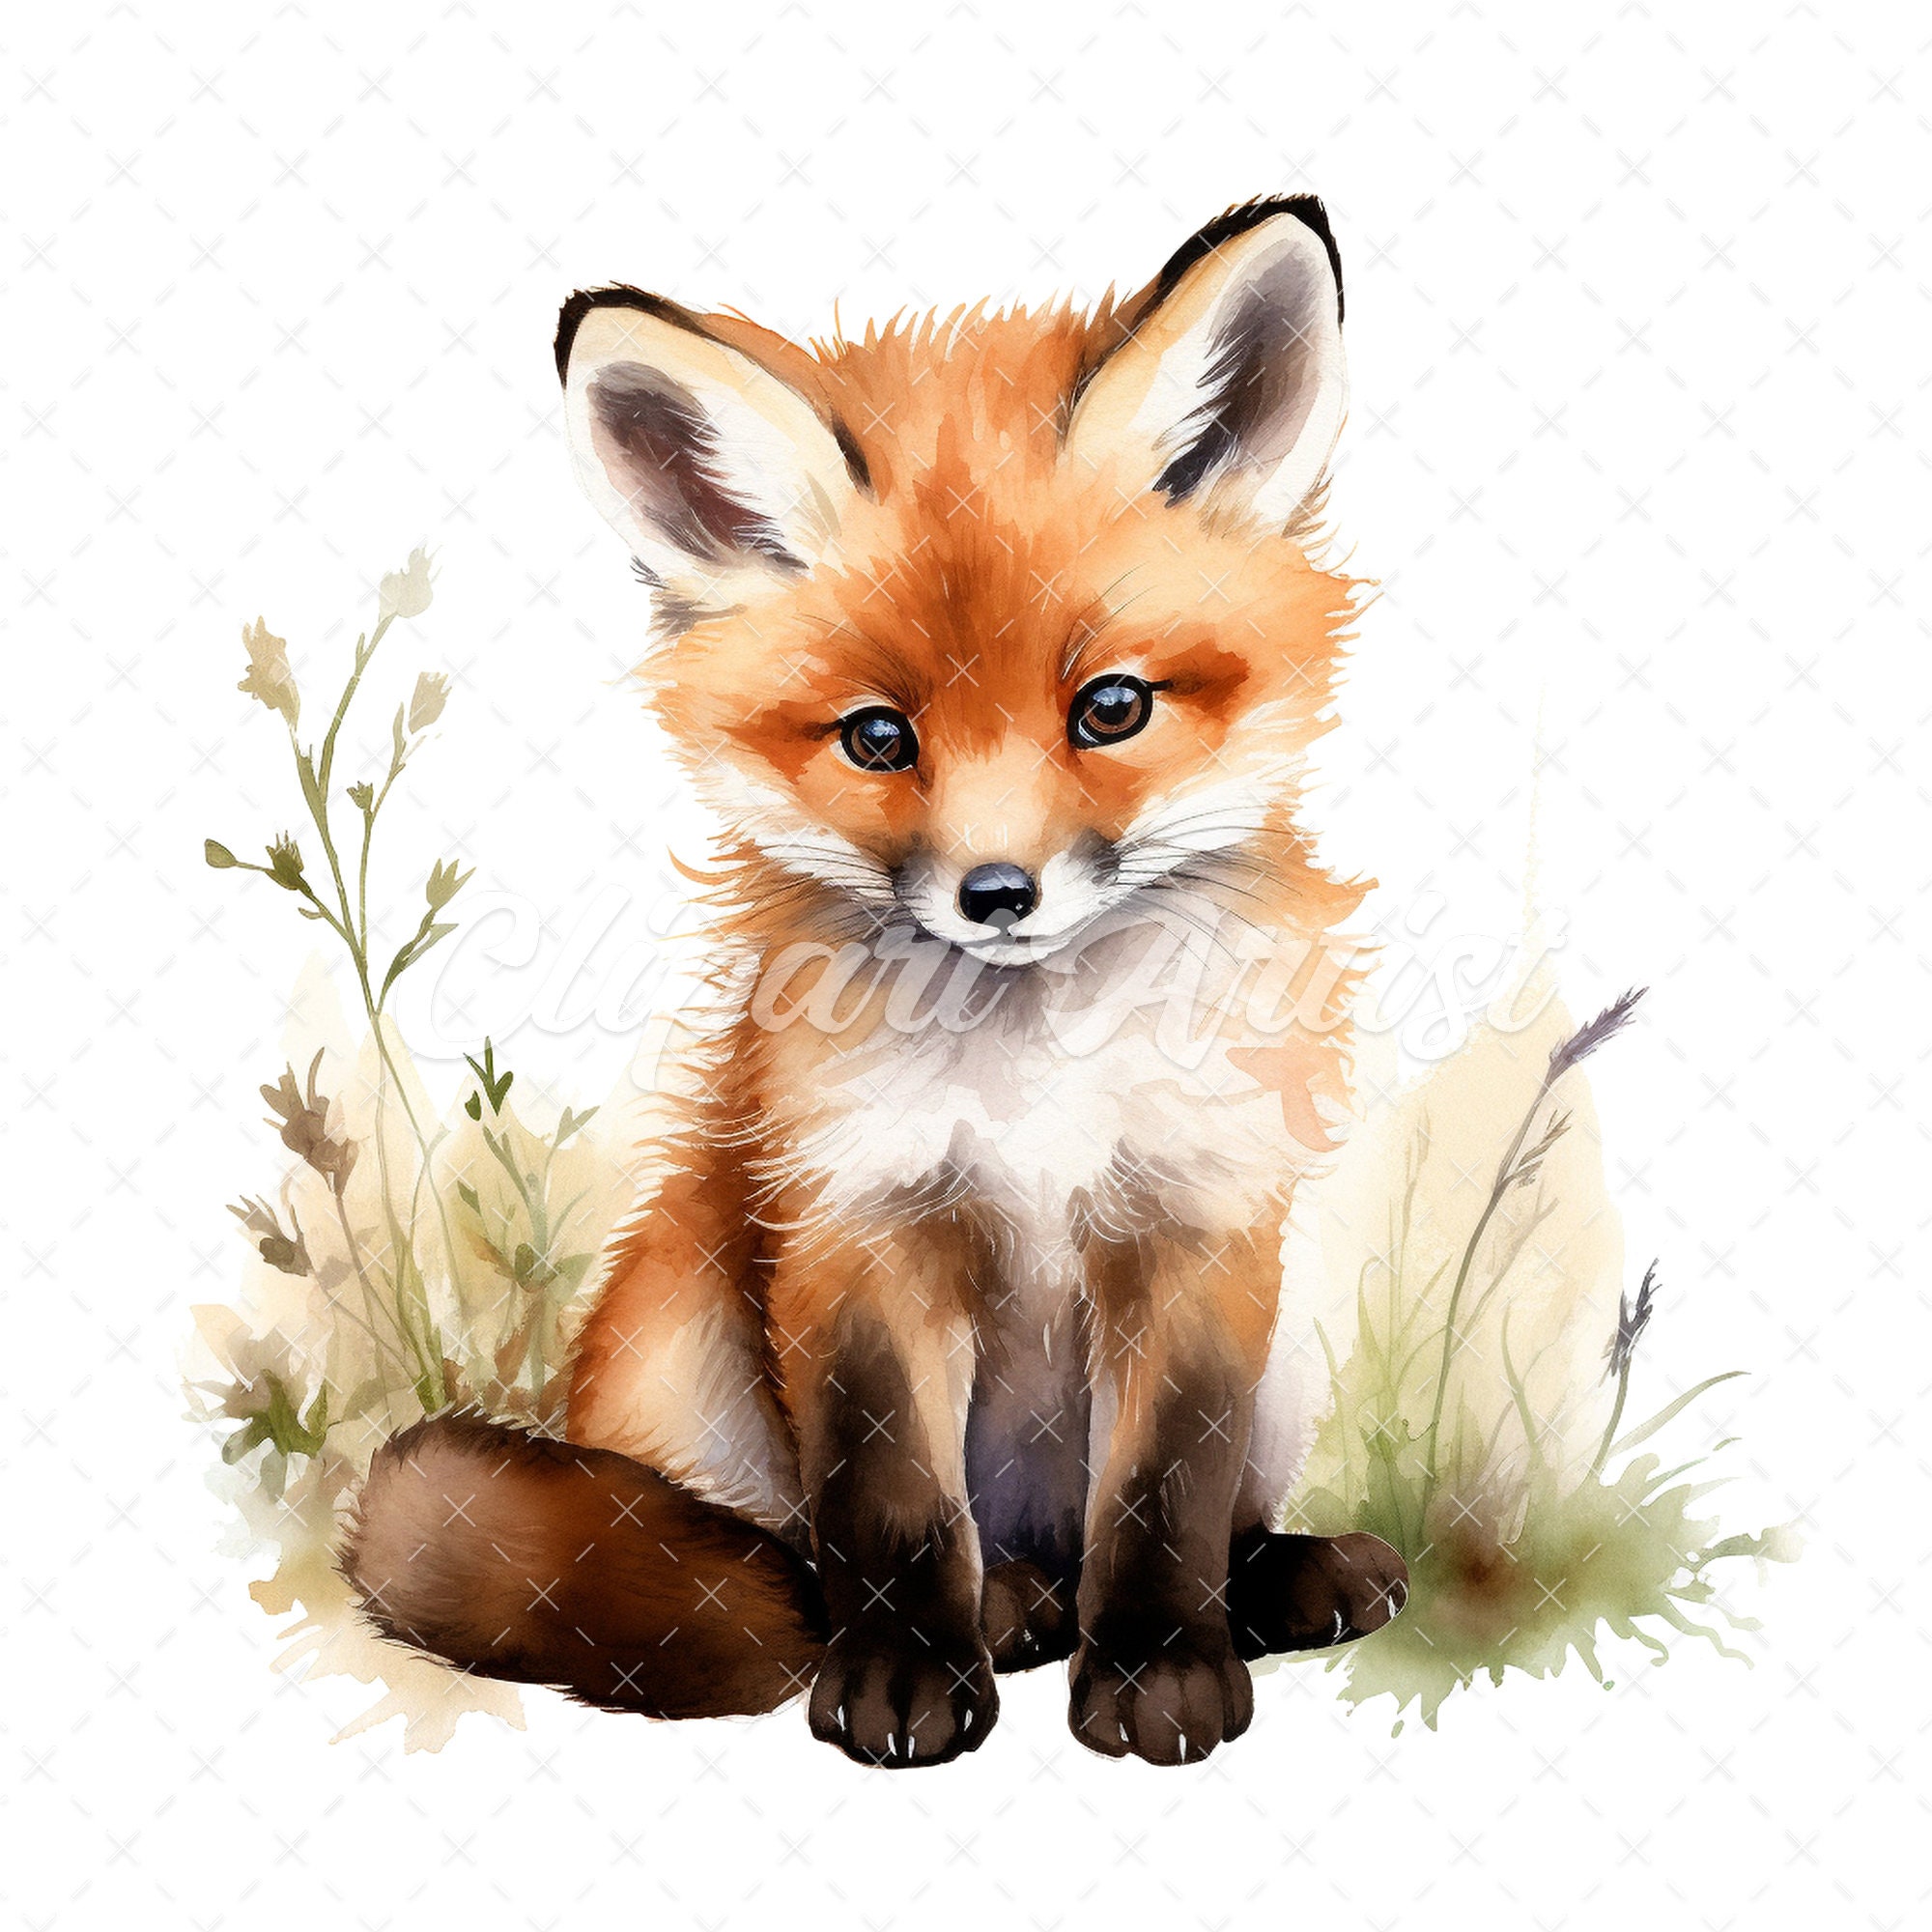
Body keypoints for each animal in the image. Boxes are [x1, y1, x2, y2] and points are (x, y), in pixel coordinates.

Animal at [344, 194, 1409, 1768]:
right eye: (876, 738)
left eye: (1111, 708)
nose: (998, 894)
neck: (1036, 1082)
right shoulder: (854, 1227)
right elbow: (892, 1502)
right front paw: (905, 1678)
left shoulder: (1198, 1221)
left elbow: (1166, 1493)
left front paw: (1159, 1666)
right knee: (820, 1554)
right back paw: (1011, 1612)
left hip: (1283, 1360)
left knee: (1188, 1524)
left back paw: (1261, 1582)